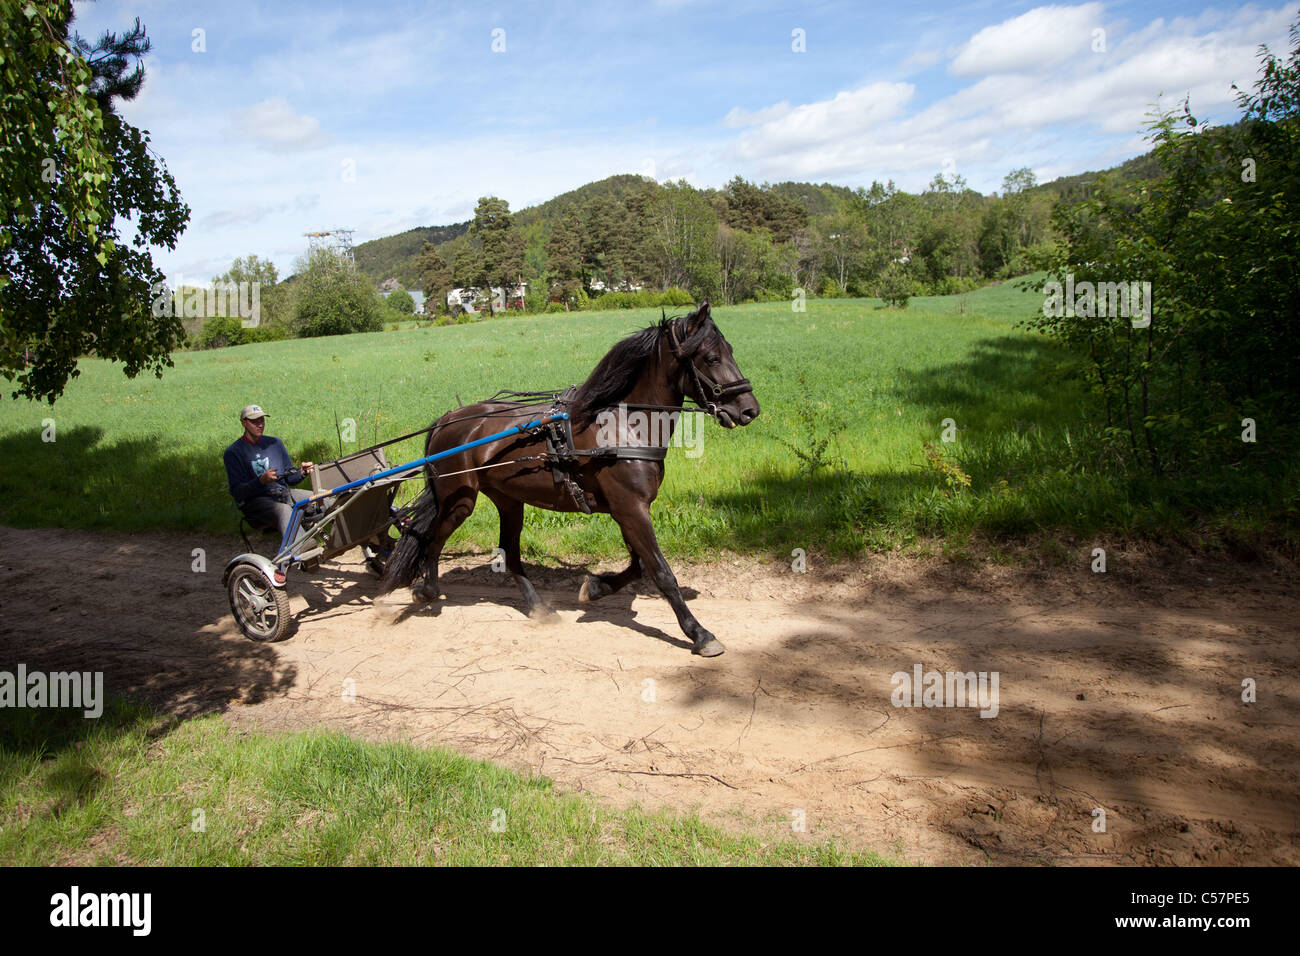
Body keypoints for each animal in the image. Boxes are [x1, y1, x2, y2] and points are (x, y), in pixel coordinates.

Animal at [377, 300, 760, 657]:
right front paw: (699, 634)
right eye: (711, 357)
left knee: (509, 554)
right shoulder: (631, 509)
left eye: (730, 350)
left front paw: (596, 588)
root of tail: (449, 418)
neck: (624, 428)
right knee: (433, 538)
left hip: (508, 500)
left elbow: (639, 567)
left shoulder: (627, 510)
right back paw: (426, 590)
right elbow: (661, 572)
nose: (750, 409)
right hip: (459, 500)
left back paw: (538, 608)